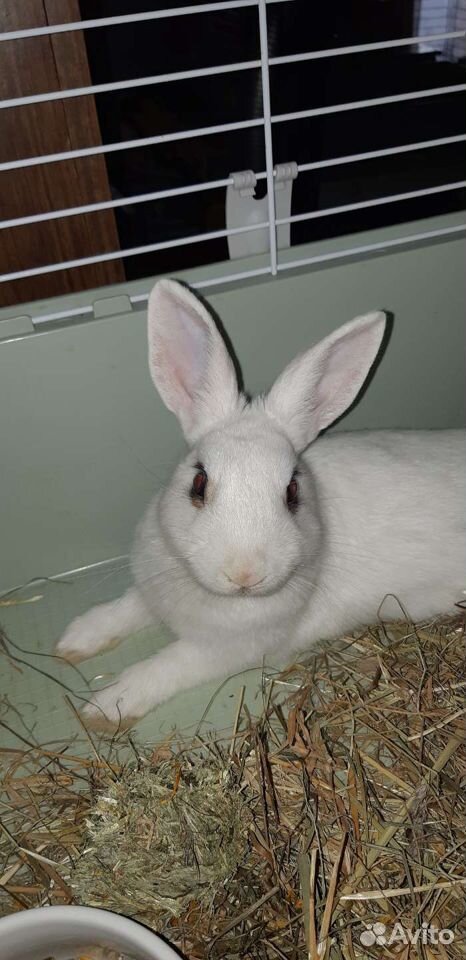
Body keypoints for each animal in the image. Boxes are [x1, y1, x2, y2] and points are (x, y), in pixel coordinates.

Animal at [55, 279, 466, 729]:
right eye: (198, 483)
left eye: (292, 492)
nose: (244, 573)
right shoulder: (151, 588)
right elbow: (128, 606)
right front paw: (75, 638)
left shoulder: (221, 650)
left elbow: (163, 666)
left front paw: (104, 708)